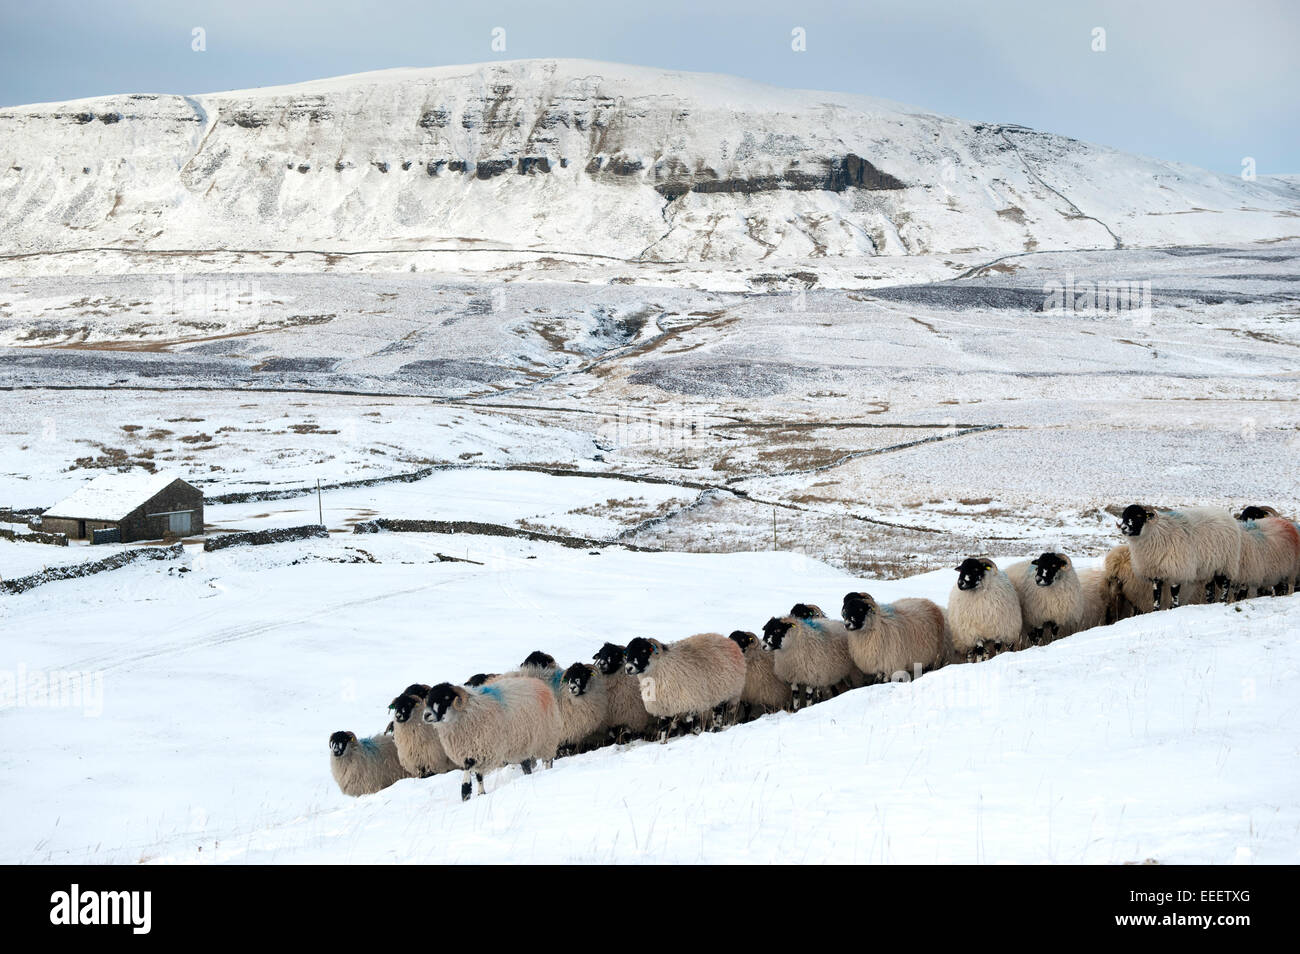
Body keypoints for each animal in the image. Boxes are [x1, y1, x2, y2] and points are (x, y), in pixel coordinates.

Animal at [422, 676, 563, 800]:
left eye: (446, 698)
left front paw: (465, 792)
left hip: (546, 738)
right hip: (521, 744)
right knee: (526, 764)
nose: (426, 715)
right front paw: (480, 793)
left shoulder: (480, 748)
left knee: (548, 760)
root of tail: (539, 683)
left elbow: (468, 768)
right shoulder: (475, 750)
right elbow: (479, 776)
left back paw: (547, 772)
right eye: (429, 699)